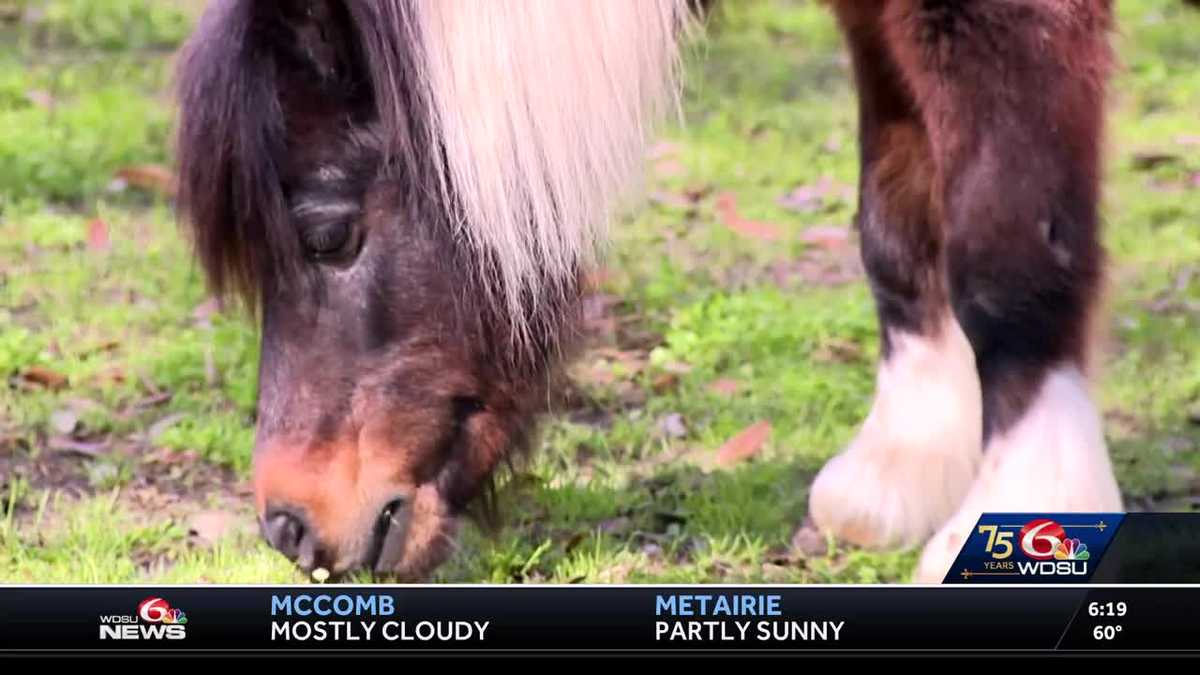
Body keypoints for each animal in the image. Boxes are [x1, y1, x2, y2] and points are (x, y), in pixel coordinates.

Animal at [175, 0, 1121, 583]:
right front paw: (902, 467)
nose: (289, 526)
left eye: (327, 234)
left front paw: (1022, 504)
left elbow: (1001, 260)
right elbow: (892, 223)